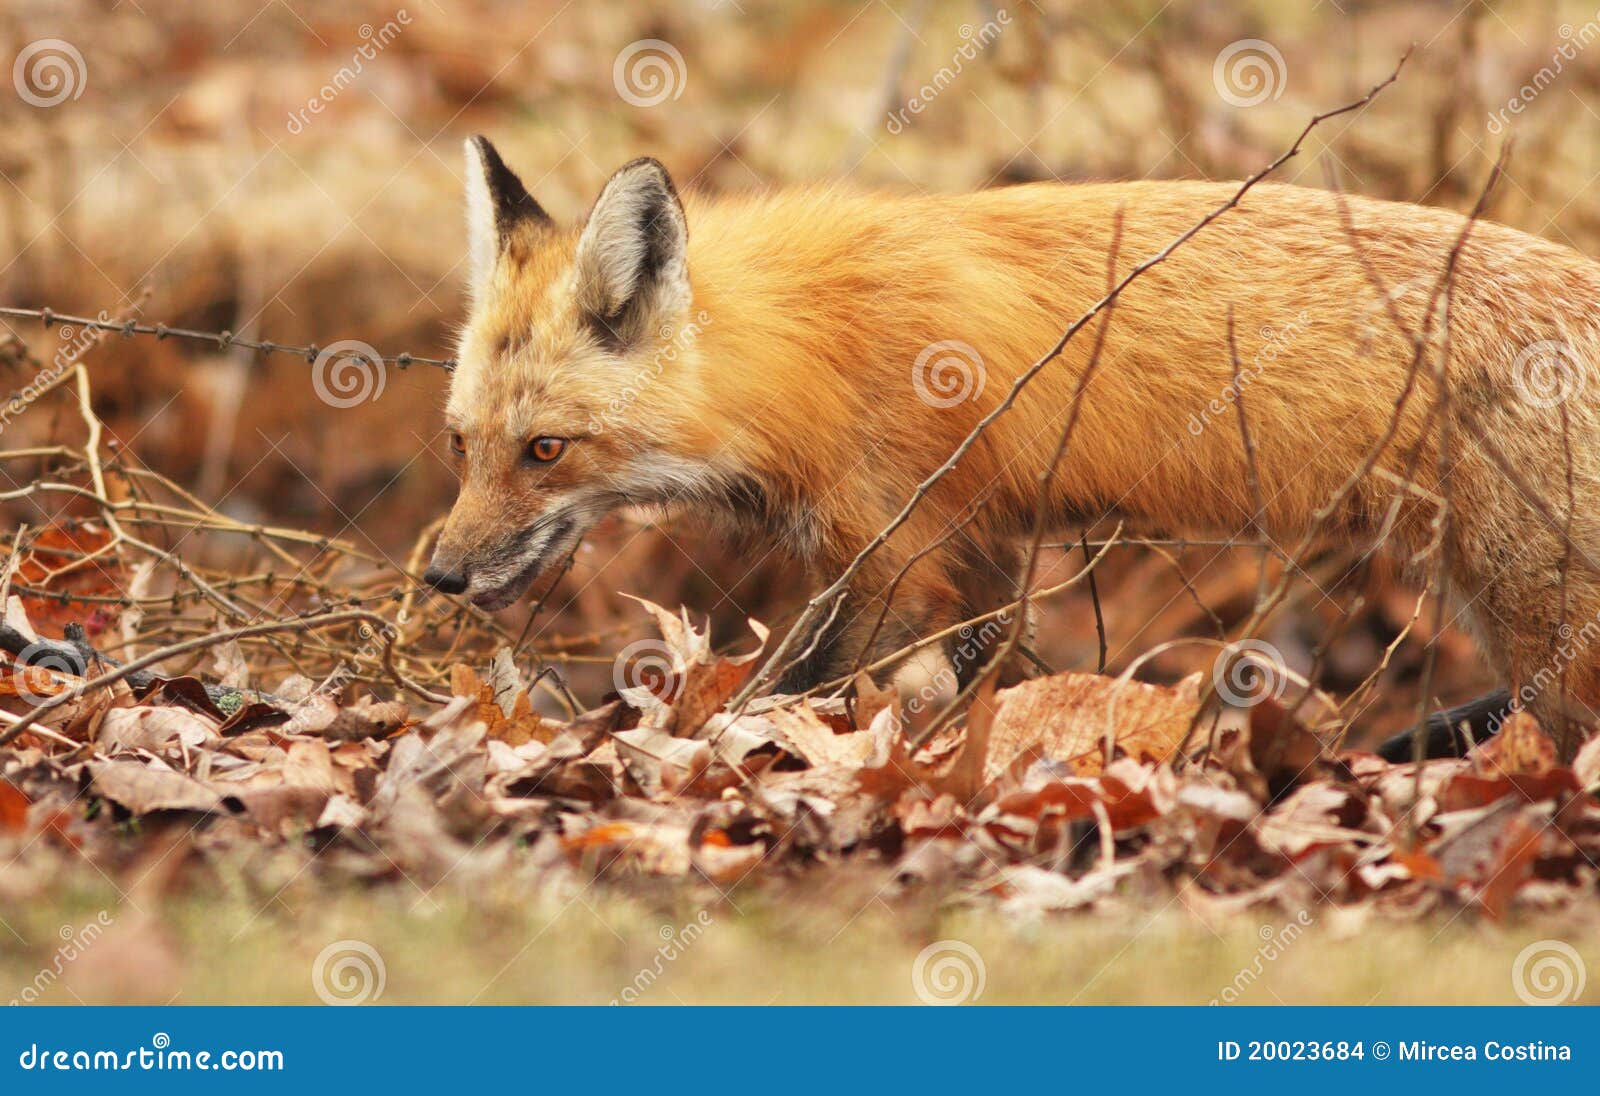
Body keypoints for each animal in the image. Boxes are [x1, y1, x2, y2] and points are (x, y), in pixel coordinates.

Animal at [424, 135, 1600, 754]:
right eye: (460, 446)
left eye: (545, 451)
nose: (439, 574)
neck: (810, 350)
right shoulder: (982, 551)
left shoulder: (896, 552)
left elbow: (799, 696)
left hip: (1541, 621)